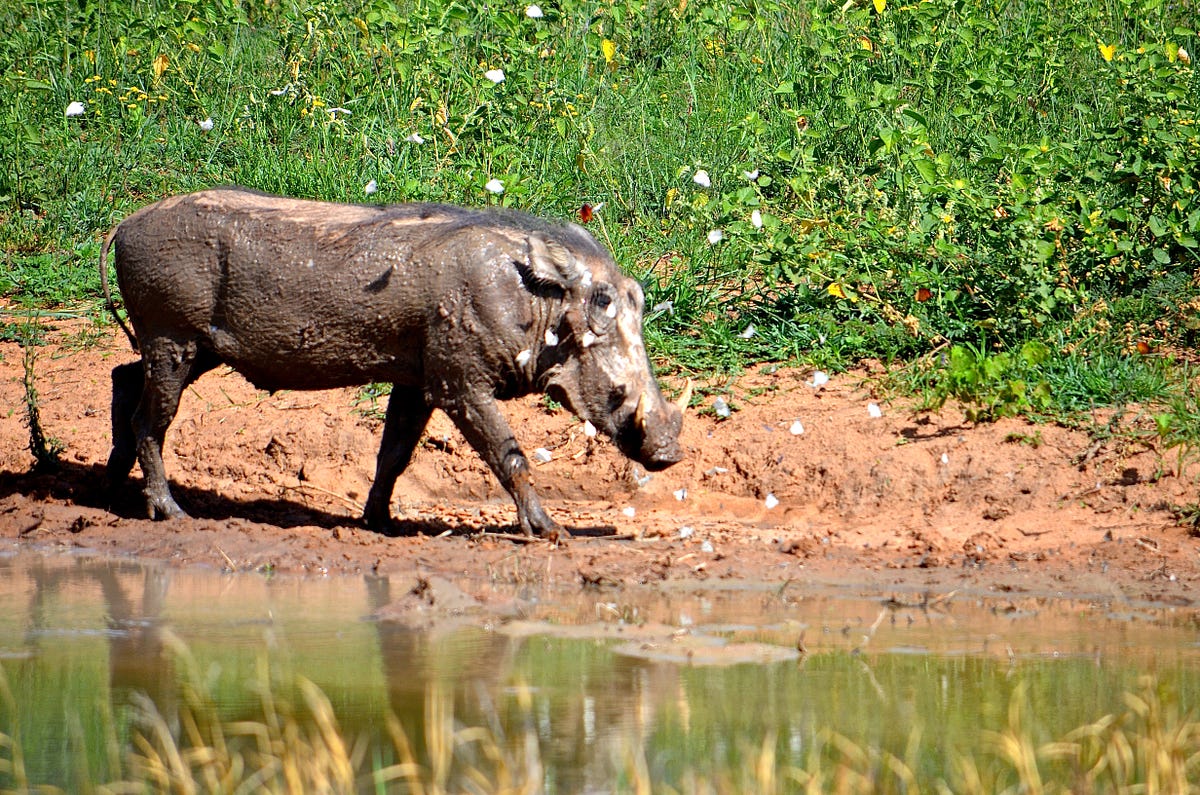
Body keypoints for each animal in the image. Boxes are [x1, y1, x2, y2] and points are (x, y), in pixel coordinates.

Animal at [100, 187, 688, 539]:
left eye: (637, 298)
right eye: (601, 303)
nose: (669, 452)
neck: (528, 299)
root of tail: (125, 222)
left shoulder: (418, 381)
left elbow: (394, 454)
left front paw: (378, 522)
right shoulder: (459, 383)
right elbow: (509, 455)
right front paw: (548, 530)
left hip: (195, 350)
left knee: (123, 381)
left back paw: (109, 491)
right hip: (172, 341)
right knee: (150, 420)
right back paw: (168, 511)